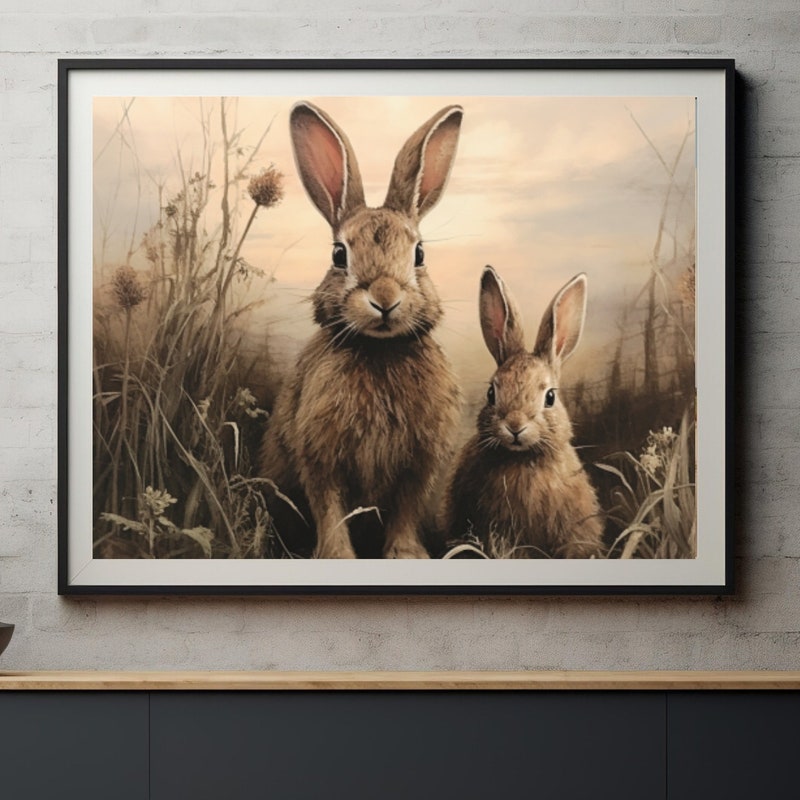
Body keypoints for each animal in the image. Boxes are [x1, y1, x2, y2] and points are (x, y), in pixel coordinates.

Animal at [260, 101, 463, 559]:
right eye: (339, 254)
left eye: (419, 254)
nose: (385, 298)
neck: (380, 352)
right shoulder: (320, 456)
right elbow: (330, 510)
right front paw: (336, 557)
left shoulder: (418, 464)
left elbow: (405, 511)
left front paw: (407, 555)